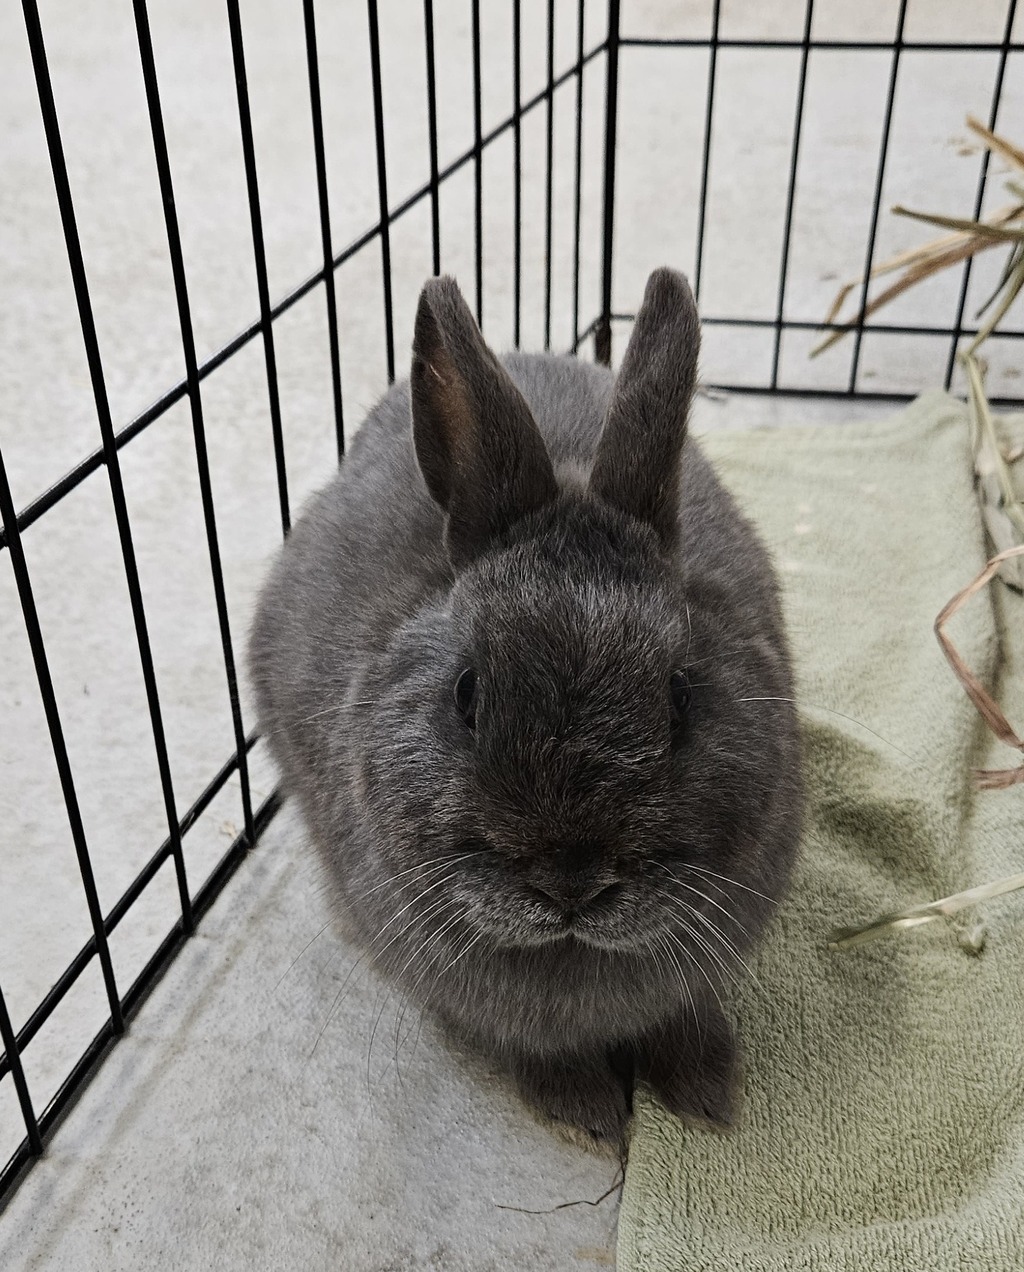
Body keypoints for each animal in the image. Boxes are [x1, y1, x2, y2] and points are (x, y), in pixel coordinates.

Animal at [248, 267, 803, 1144]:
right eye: (466, 694)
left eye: (680, 696)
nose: (572, 881)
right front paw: (591, 1114)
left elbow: (681, 1015)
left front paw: (708, 1091)